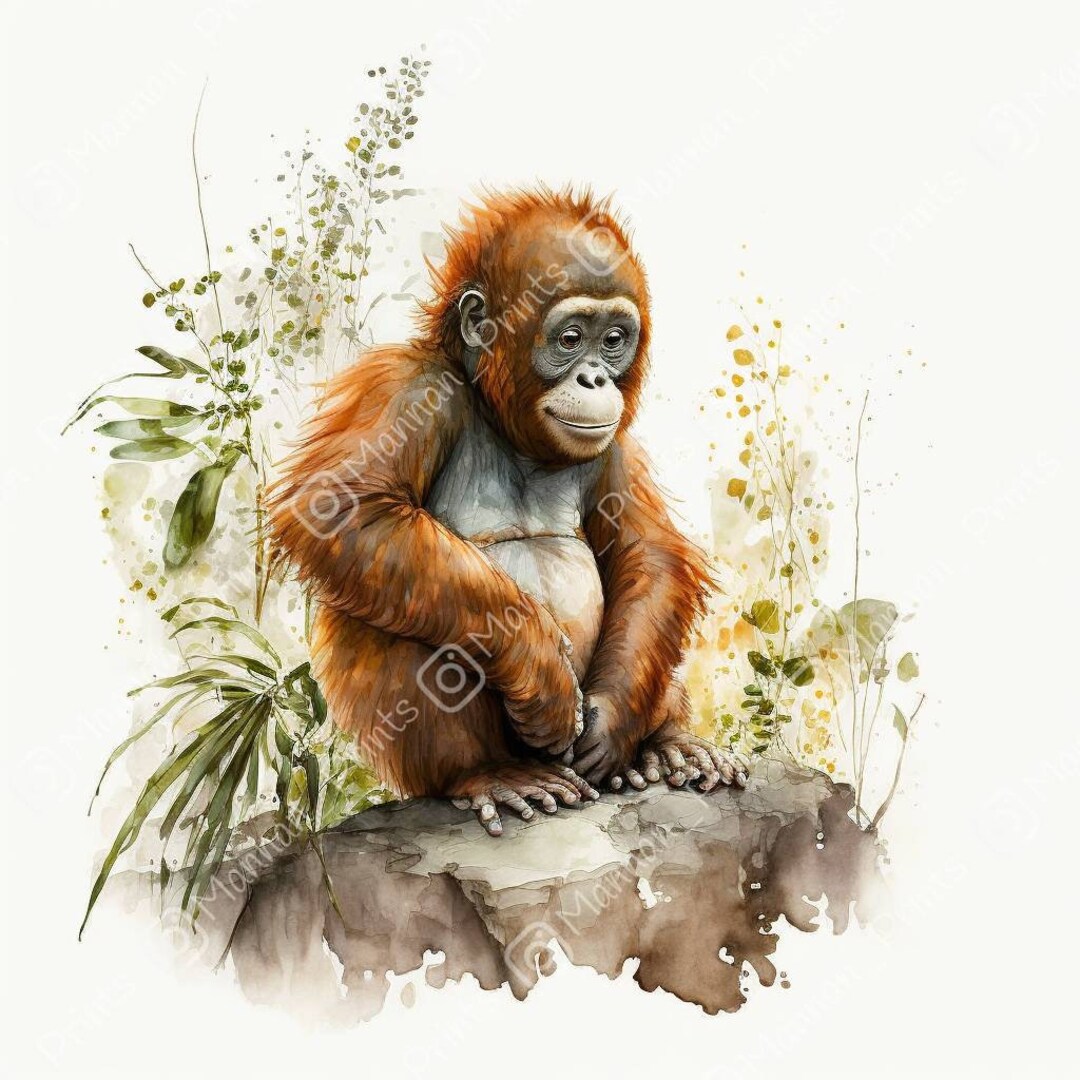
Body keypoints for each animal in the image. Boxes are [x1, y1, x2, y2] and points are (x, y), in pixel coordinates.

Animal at [270, 187, 748, 836]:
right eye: (570, 338)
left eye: (614, 339)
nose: (596, 378)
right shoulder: (406, 387)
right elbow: (343, 510)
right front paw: (540, 667)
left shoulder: (614, 446)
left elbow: (647, 553)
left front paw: (613, 720)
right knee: (416, 610)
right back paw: (491, 775)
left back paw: (666, 743)